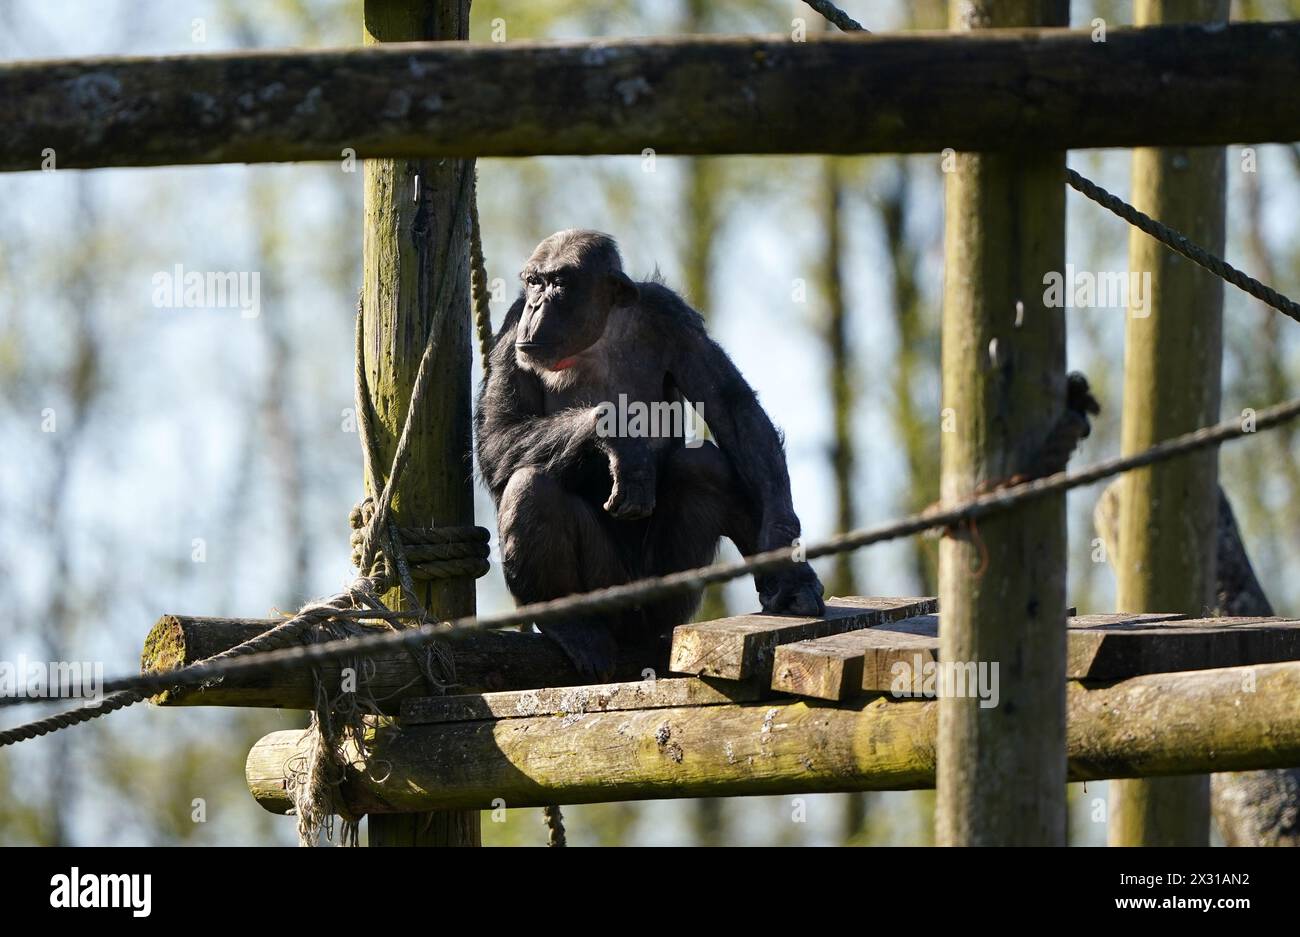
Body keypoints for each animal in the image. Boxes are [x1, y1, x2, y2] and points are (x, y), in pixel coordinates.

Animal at [476, 230, 824, 680]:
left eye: (559, 282)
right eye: (534, 283)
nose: (538, 304)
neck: (597, 333)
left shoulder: (671, 316)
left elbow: (733, 408)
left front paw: (784, 550)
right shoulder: (511, 332)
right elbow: (498, 438)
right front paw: (617, 437)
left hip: (666, 598)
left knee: (703, 465)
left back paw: (788, 585)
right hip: (607, 588)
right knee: (530, 483)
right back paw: (570, 624)